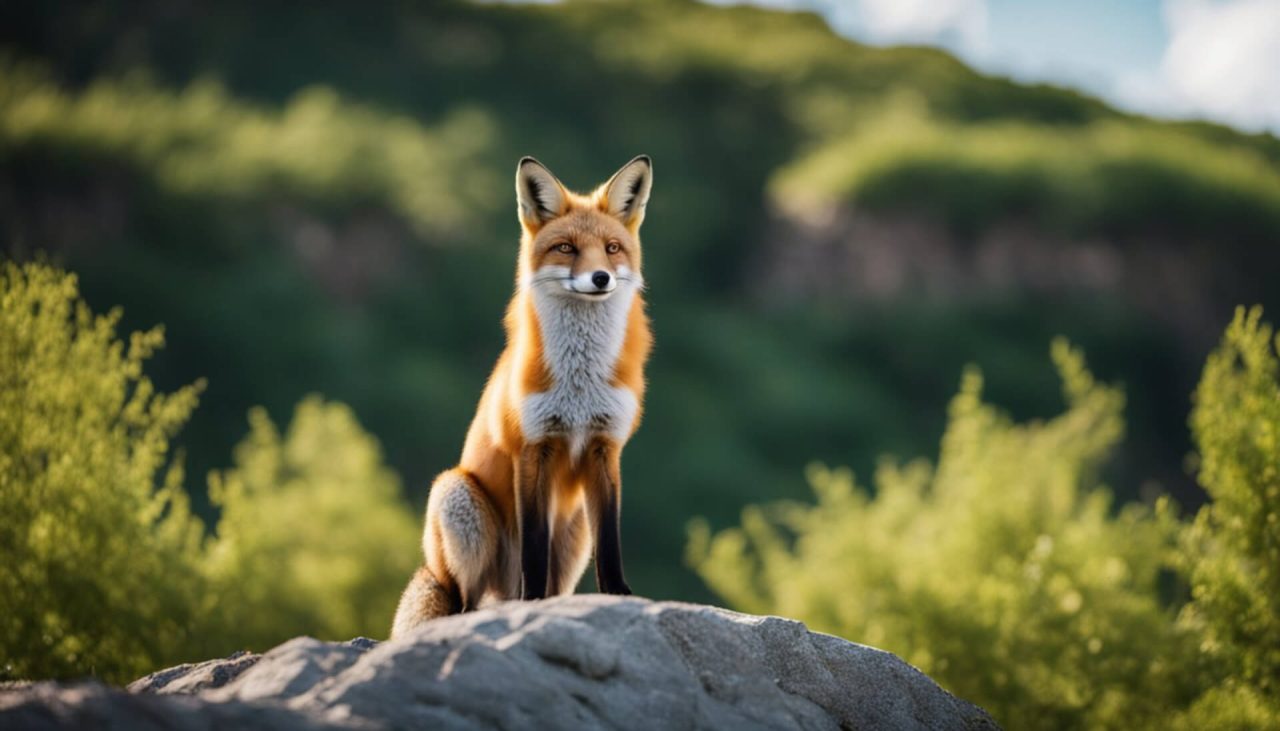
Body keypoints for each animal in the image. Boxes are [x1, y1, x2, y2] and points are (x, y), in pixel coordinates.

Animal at [391, 155, 654, 637]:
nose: (601, 277)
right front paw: (531, 603)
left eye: (611, 248)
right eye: (566, 248)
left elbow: (611, 542)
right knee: (467, 604)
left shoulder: (606, 447)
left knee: (553, 583)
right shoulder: (532, 448)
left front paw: (620, 596)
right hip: (457, 500)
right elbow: (533, 546)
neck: (578, 384)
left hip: (574, 531)